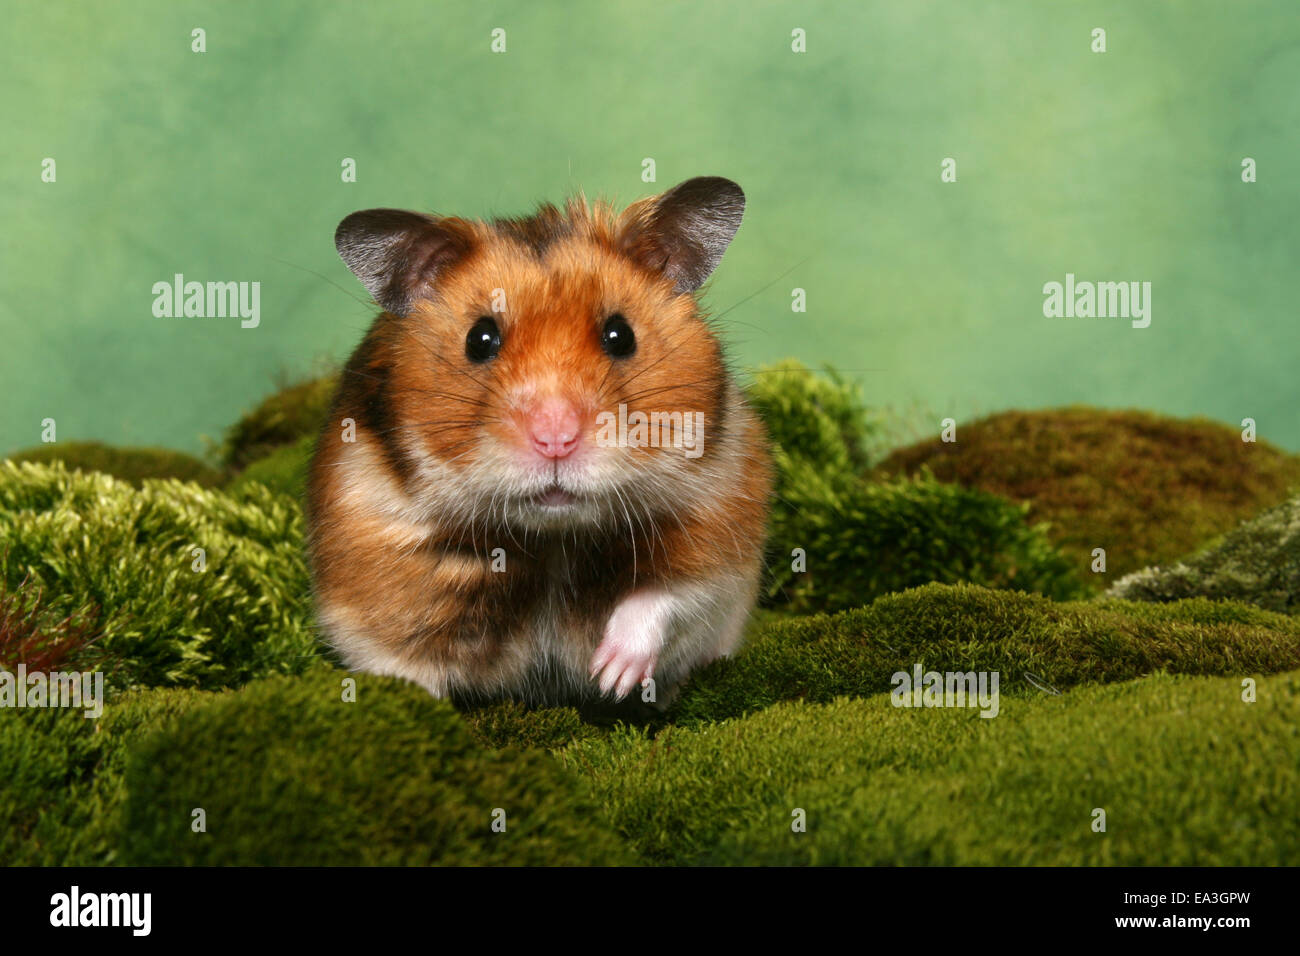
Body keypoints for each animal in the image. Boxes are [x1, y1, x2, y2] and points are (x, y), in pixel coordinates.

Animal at [306, 176, 773, 709]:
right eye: (480, 339)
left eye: (620, 335)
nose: (556, 439)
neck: (553, 541)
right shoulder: (373, 548)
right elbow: (402, 661)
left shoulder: (720, 522)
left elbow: (663, 597)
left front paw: (610, 677)